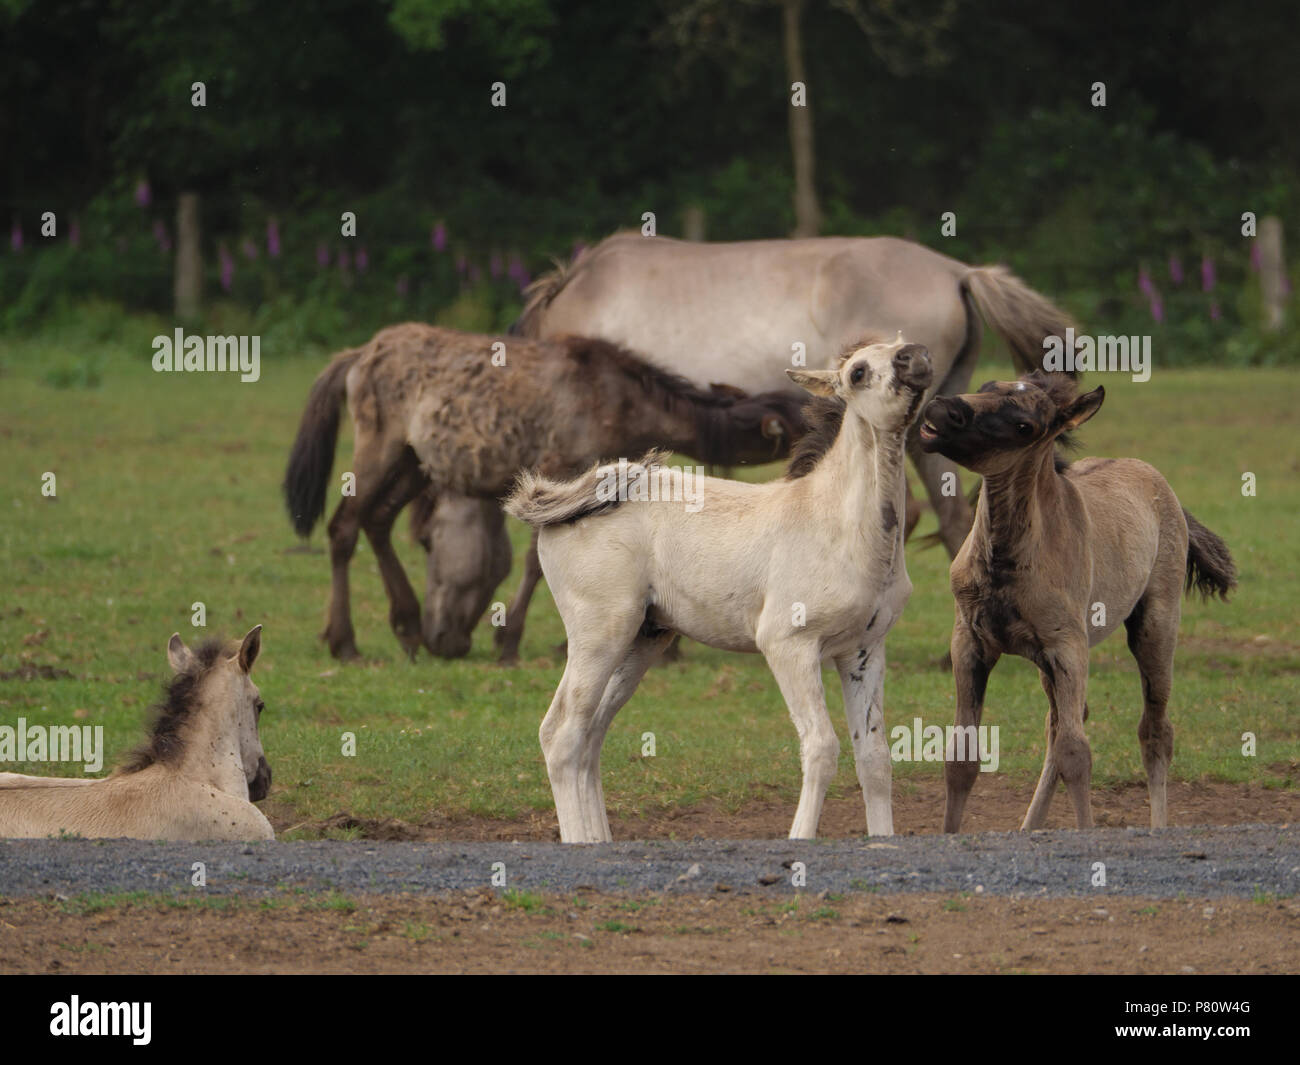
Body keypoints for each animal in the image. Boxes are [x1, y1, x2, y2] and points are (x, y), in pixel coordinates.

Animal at [505, 335, 932, 842]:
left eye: (899, 344)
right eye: (858, 372)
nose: (916, 357)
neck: (840, 526)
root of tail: (566, 502)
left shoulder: (863, 651)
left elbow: (875, 758)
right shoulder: (789, 645)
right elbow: (822, 748)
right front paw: (800, 839)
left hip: (640, 641)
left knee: (590, 735)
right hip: (599, 635)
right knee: (562, 734)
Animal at [918, 373, 1237, 830]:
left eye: (1025, 426)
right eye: (987, 384)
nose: (942, 409)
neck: (1007, 559)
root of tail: (1161, 485)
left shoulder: (1066, 646)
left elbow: (1077, 754)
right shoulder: (969, 644)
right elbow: (962, 757)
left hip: (1155, 627)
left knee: (1154, 731)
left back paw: (1158, 825)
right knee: (1060, 723)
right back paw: (1029, 826)